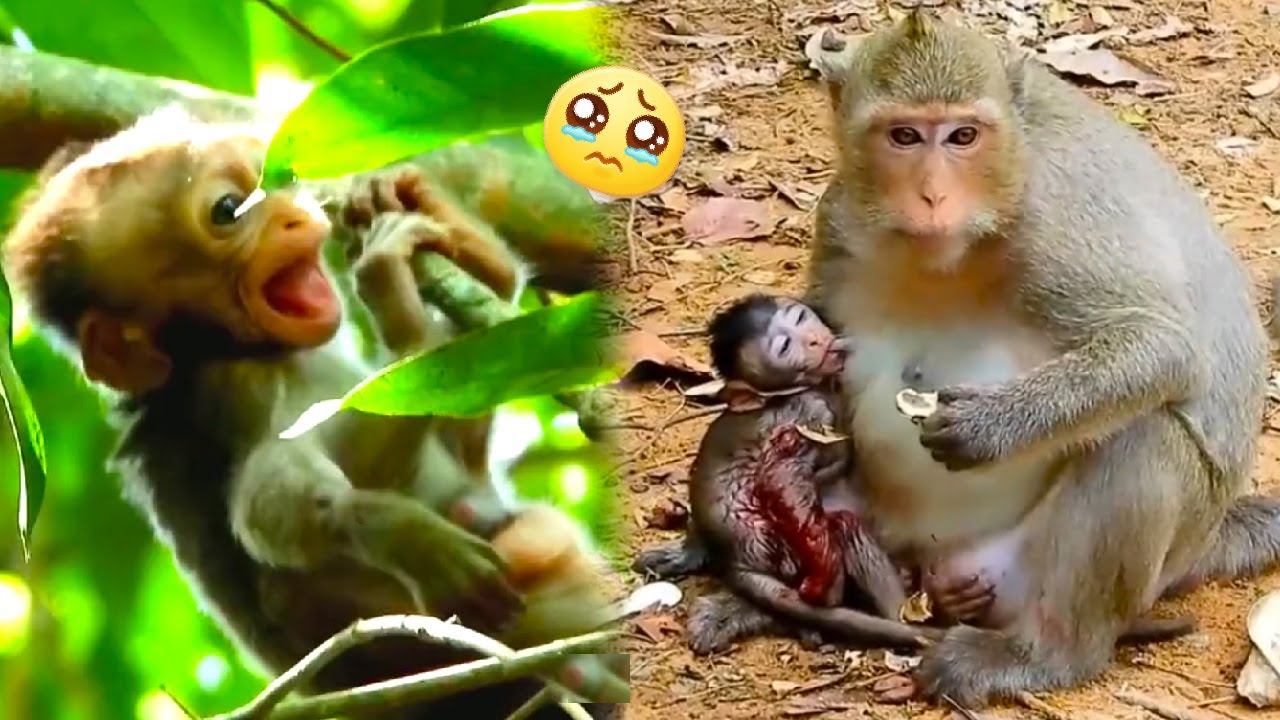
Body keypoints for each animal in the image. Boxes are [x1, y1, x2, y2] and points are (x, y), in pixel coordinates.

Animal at [3, 108, 625, 719]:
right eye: (228, 210)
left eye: (261, 178)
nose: (292, 216)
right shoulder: (239, 390)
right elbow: (270, 500)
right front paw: (389, 525)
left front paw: (411, 201)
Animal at [634, 293, 935, 654]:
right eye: (785, 347)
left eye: (801, 319)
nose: (815, 341)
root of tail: (732, 561)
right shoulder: (807, 413)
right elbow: (782, 478)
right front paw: (824, 581)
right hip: (781, 552)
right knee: (842, 528)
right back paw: (899, 618)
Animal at [802, 11, 1280, 706]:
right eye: (904, 135)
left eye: (963, 136)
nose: (932, 196)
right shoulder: (838, 213)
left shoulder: (1055, 224)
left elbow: (1163, 347)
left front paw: (990, 426)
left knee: (1144, 435)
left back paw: (1047, 656)